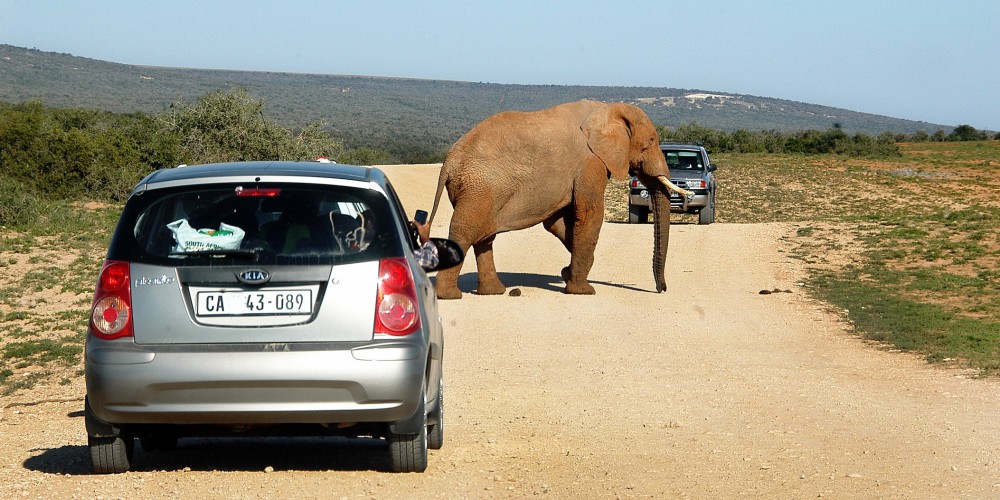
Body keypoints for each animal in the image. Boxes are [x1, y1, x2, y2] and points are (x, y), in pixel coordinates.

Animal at [427, 99, 693, 299]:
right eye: (651, 142)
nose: (661, 289)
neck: (607, 109)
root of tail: (449, 161)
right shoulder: (590, 162)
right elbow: (589, 214)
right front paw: (583, 290)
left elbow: (558, 223)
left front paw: (567, 274)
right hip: (480, 187)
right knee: (465, 231)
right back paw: (449, 296)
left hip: (478, 190)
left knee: (484, 237)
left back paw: (493, 292)